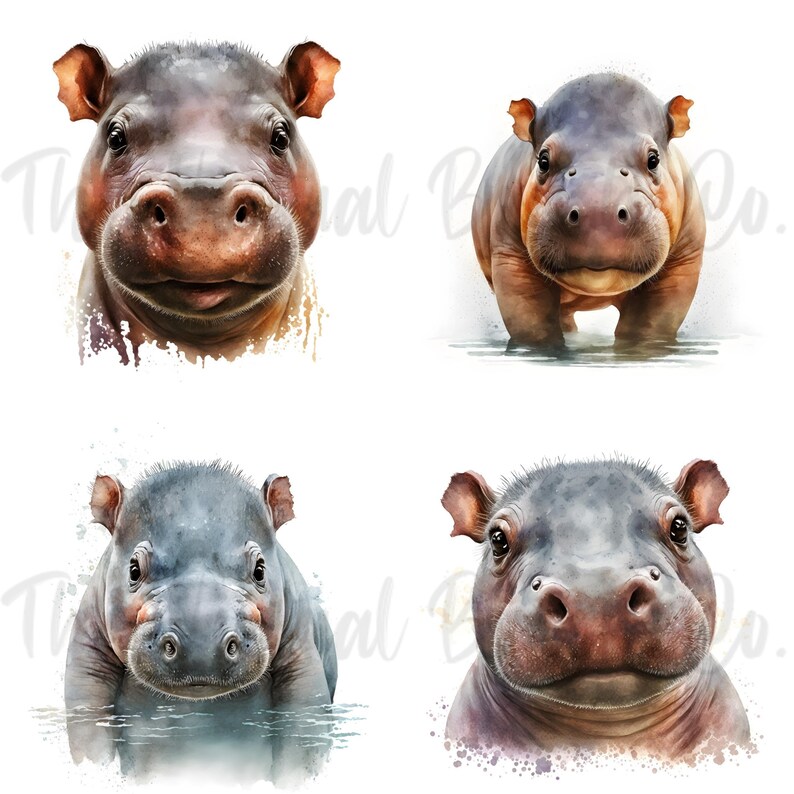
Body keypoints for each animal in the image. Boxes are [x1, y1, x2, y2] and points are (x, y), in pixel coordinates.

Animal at [65, 462, 337, 779]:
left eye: (260, 569)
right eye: (133, 569)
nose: (201, 650)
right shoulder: (88, 655)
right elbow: (88, 729)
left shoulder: (300, 655)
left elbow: (302, 735)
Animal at [472, 74, 706, 348]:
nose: (598, 215)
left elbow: (647, 328)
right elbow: (532, 324)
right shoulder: (510, 259)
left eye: (653, 159)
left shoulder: (683, 263)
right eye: (543, 160)